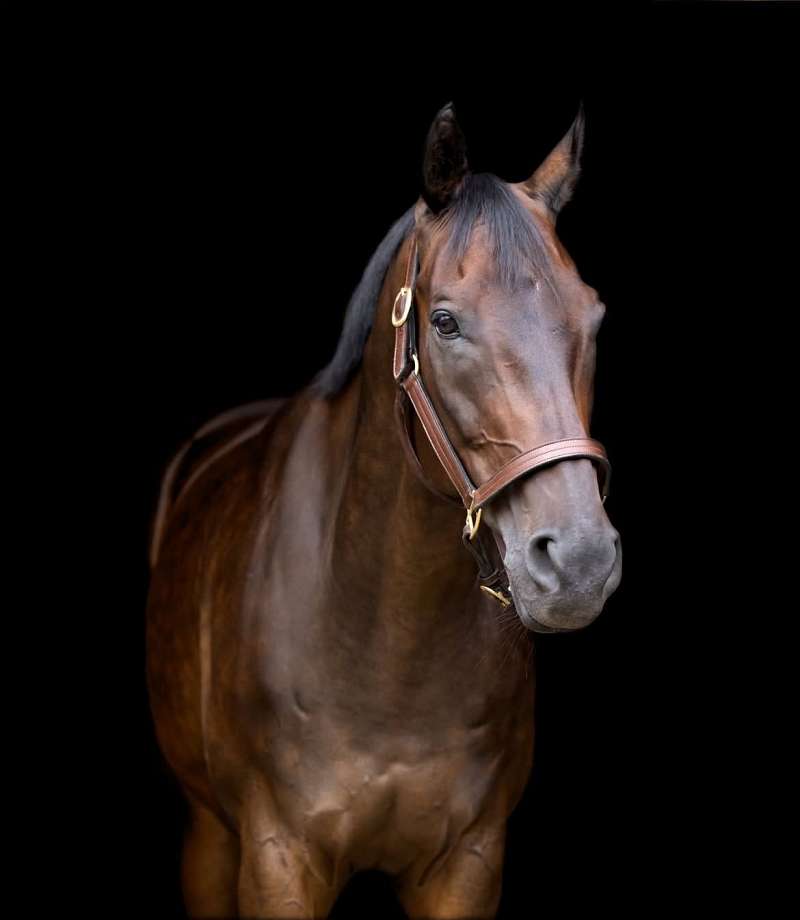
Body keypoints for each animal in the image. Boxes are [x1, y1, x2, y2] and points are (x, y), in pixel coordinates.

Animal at [146, 102, 622, 920]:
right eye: (445, 322)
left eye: (592, 317)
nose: (579, 563)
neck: (382, 641)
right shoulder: (277, 860)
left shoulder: (467, 863)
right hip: (208, 837)